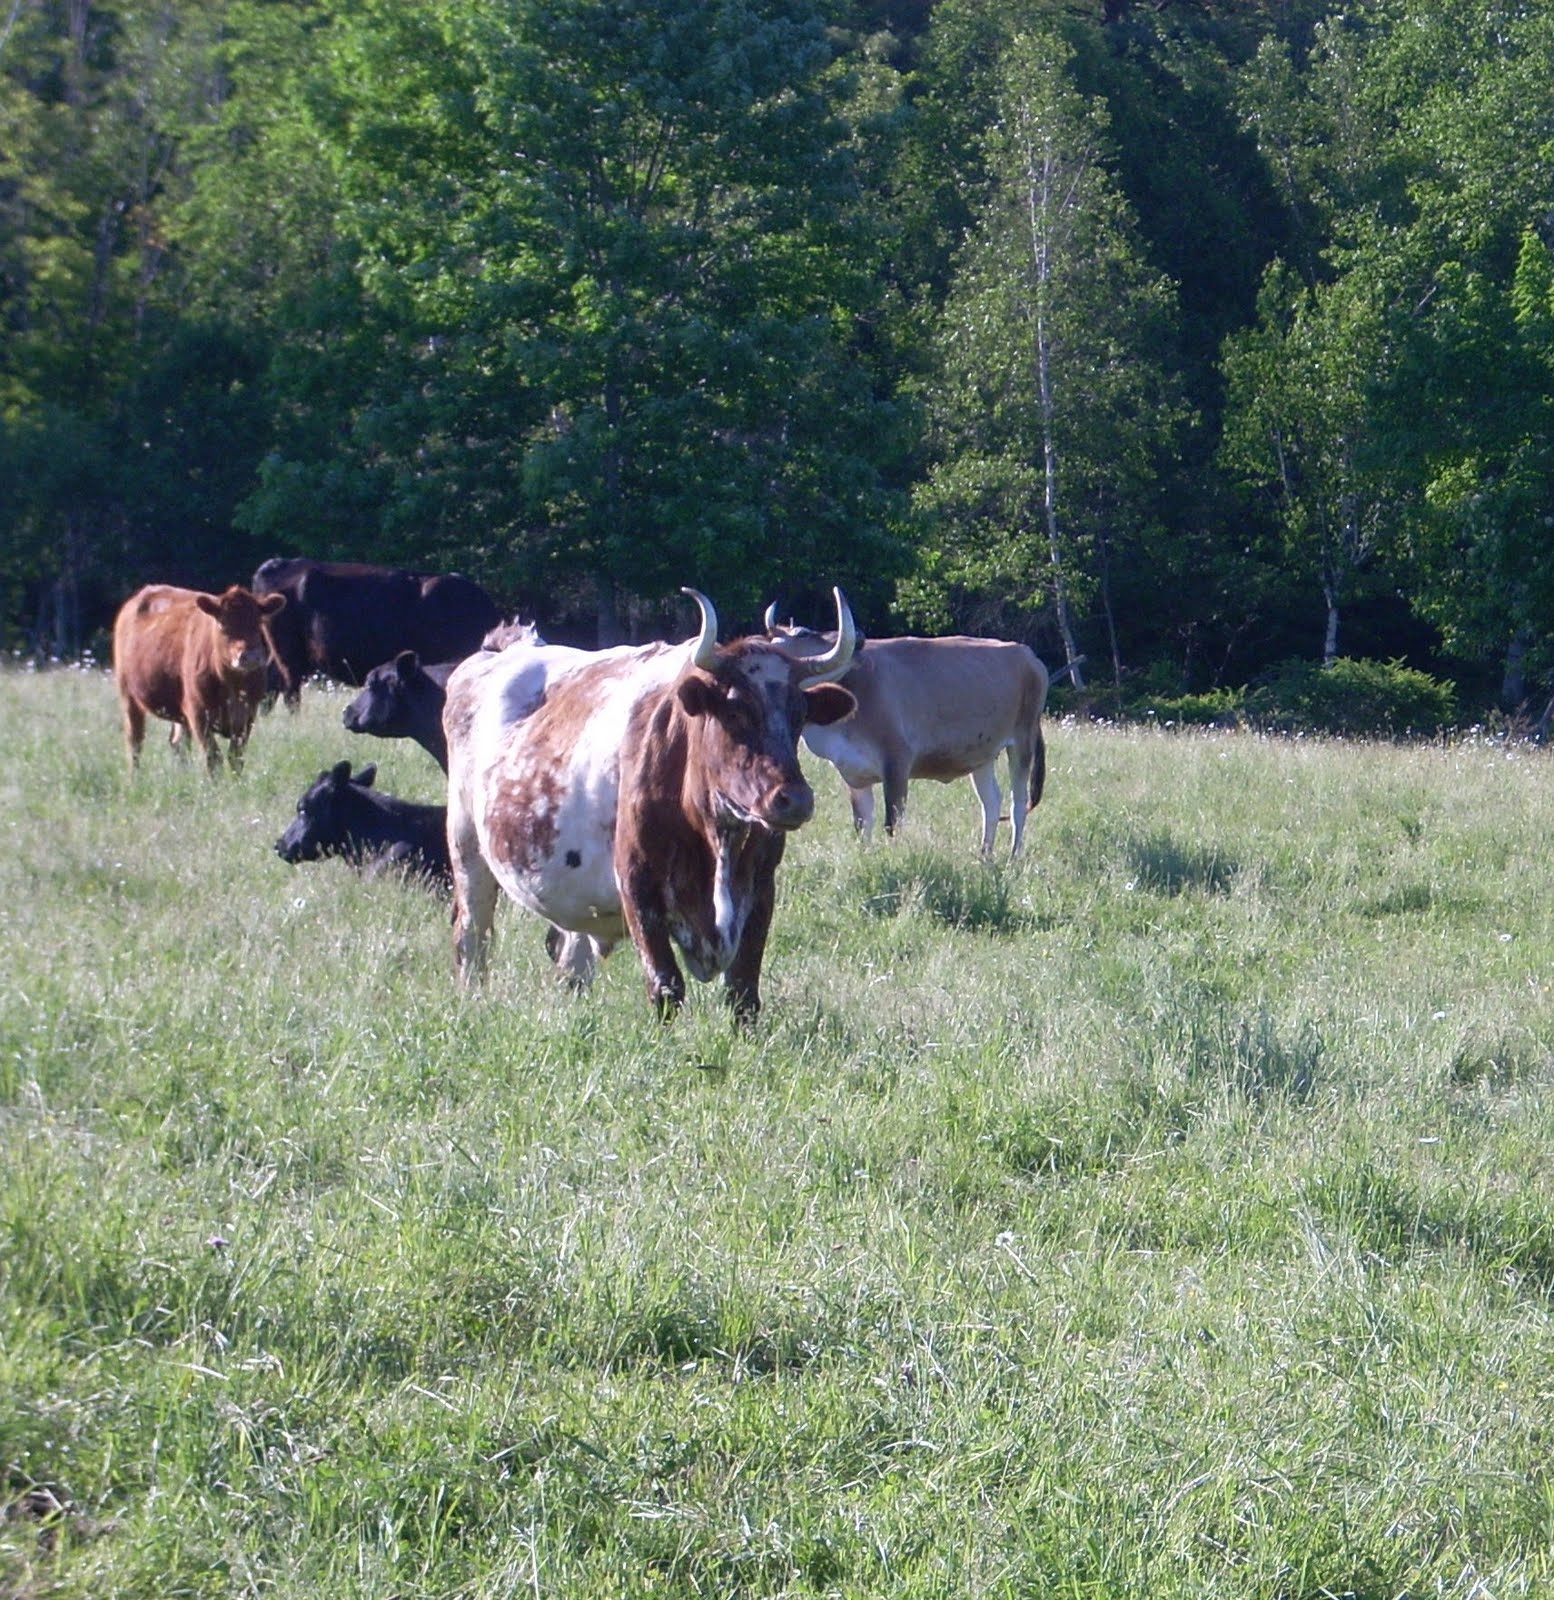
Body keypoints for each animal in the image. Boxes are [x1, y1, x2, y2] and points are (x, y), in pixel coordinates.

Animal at [112, 583, 286, 775]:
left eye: (259, 622)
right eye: (222, 623)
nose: (251, 656)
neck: (233, 684)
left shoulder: (247, 716)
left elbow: (236, 757)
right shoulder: (199, 714)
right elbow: (214, 759)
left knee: (178, 743)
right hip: (129, 696)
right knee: (135, 743)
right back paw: (134, 777)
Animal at [443, 588, 858, 1023]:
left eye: (799, 715)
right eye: (734, 711)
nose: (794, 800)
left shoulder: (761, 889)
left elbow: (743, 992)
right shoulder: (638, 884)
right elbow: (665, 986)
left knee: (571, 960)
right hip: (467, 849)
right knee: (471, 935)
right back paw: (472, 999)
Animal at [764, 604, 1049, 858]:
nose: (860, 637)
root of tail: (1028, 655)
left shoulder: (897, 763)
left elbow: (893, 823)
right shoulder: (853, 774)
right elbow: (862, 826)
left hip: (1022, 742)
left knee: (1018, 803)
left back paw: (1013, 858)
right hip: (981, 754)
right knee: (991, 802)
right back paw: (985, 857)